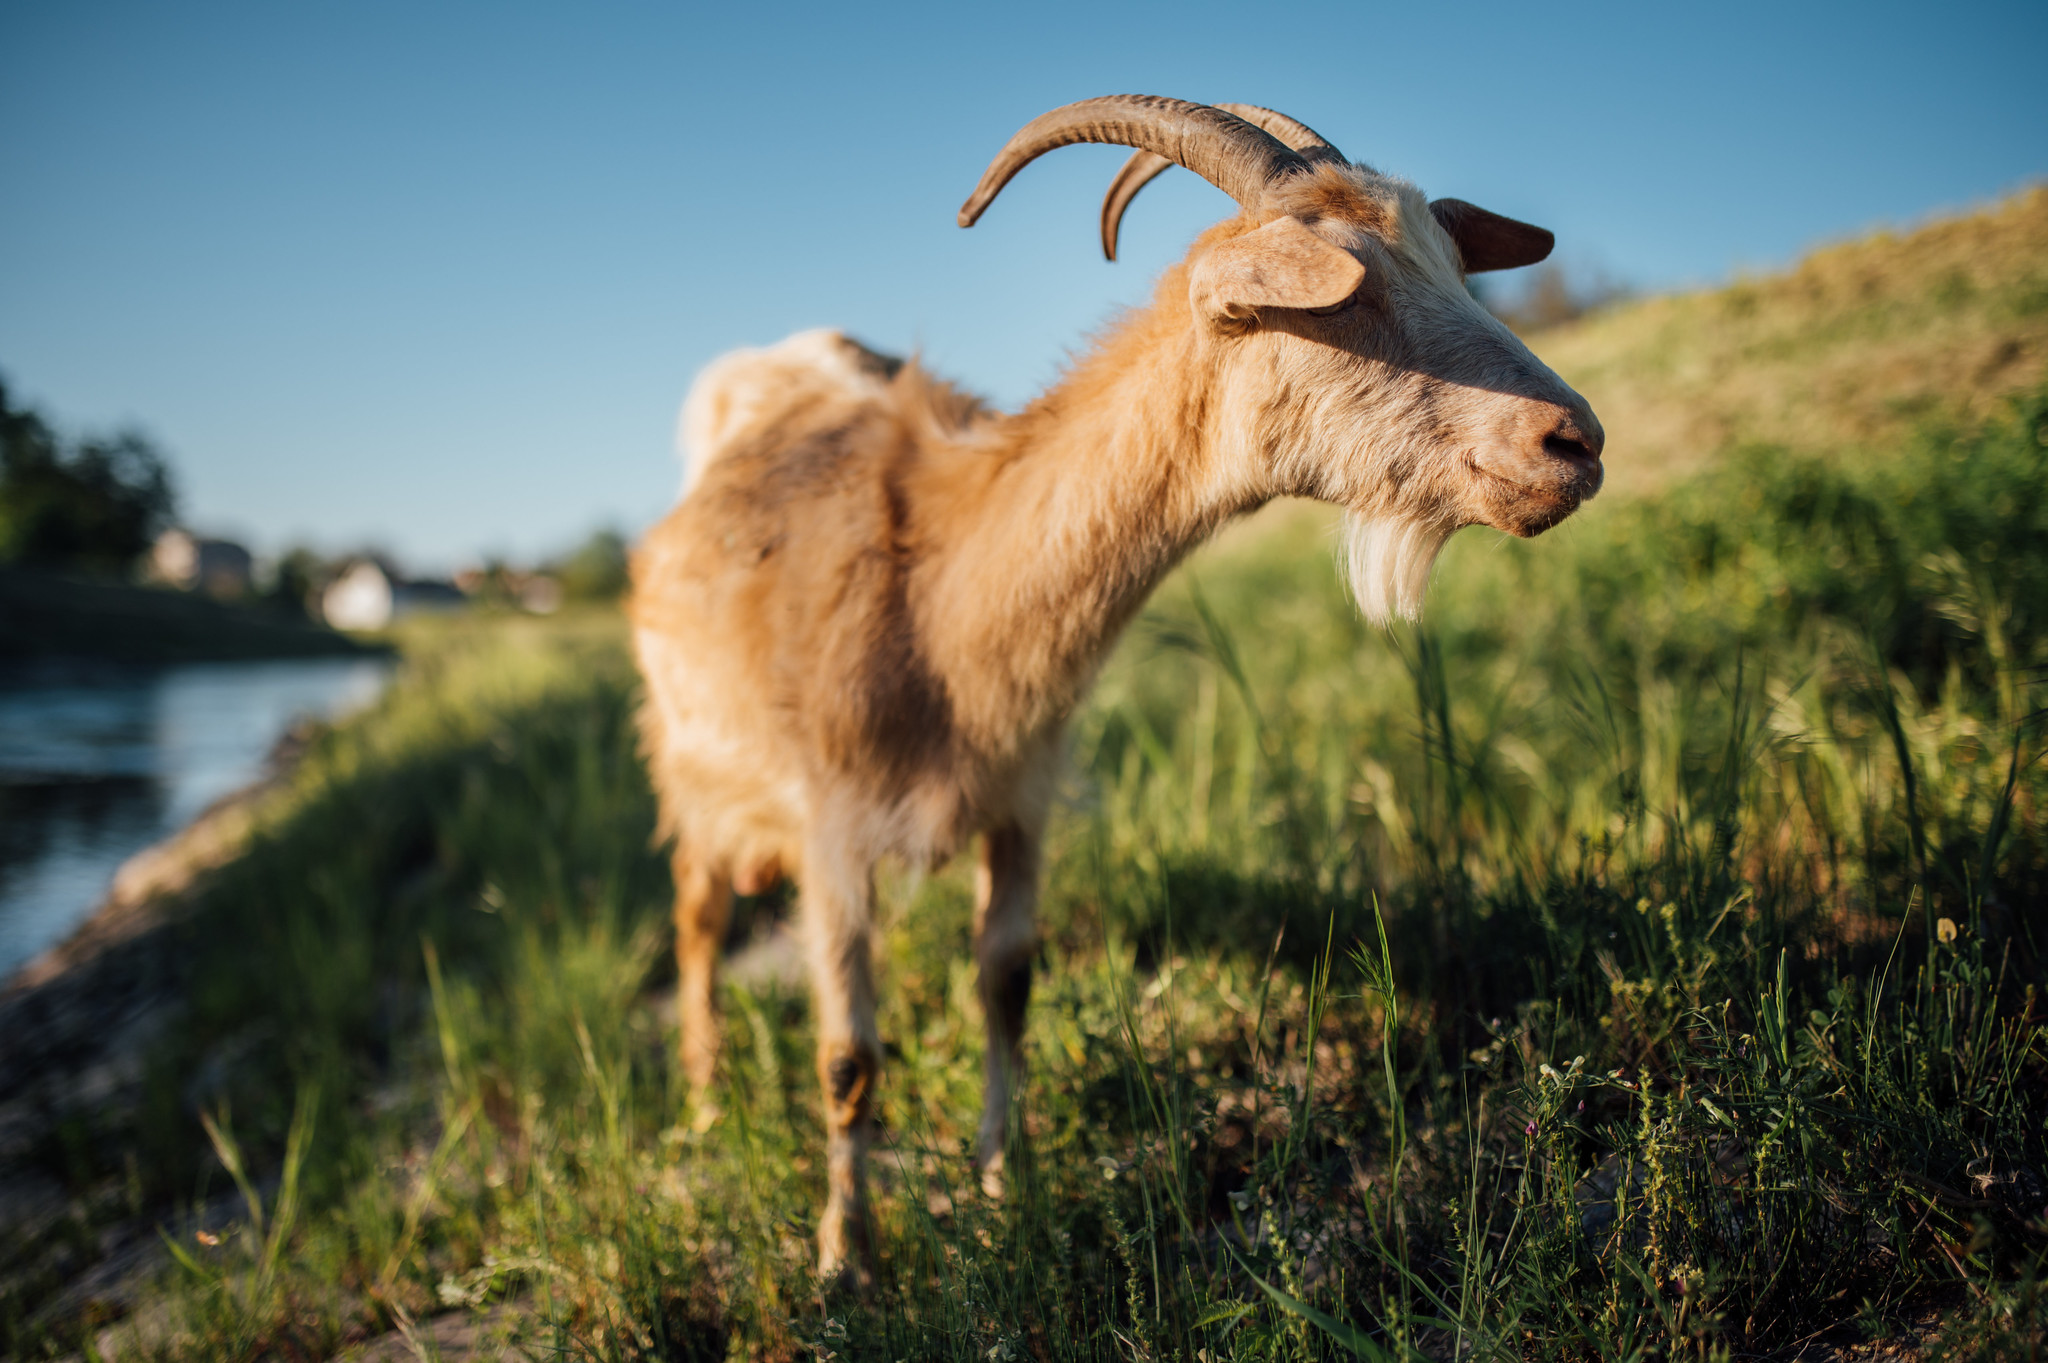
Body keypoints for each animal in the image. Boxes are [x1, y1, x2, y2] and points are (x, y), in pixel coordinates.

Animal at [628, 95, 1604, 1286]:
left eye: (1453, 268)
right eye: (1347, 289)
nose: (1574, 440)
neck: (939, 594)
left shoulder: (1021, 796)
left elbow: (1005, 986)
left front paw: (1006, 1191)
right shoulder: (832, 828)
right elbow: (847, 1055)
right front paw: (844, 1258)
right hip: (694, 771)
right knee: (695, 916)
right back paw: (704, 1105)